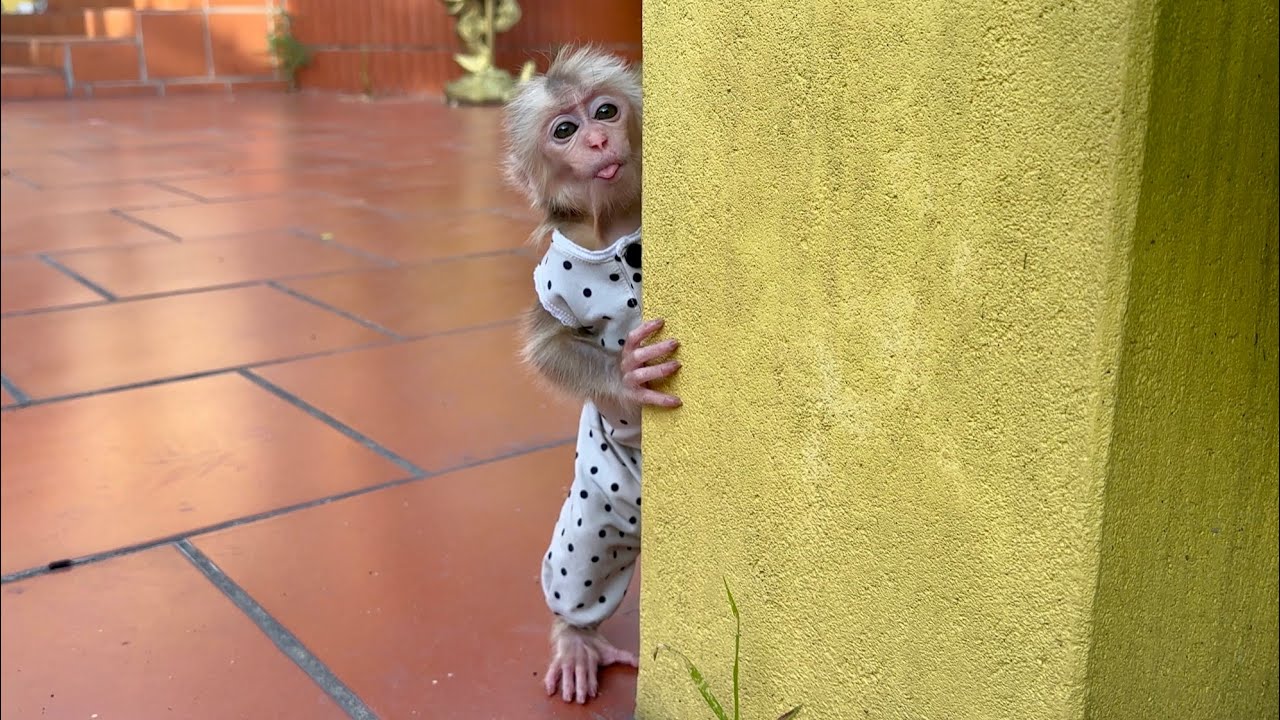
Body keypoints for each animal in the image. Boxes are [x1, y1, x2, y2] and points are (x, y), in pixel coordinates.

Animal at [501, 46, 682, 705]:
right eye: (564, 130)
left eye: (605, 111)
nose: (599, 138)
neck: (617, 231)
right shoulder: (555, 272)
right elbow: (549, 347)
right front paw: (630, 376)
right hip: (599, 498)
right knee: (584, 560)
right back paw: (577, 638)